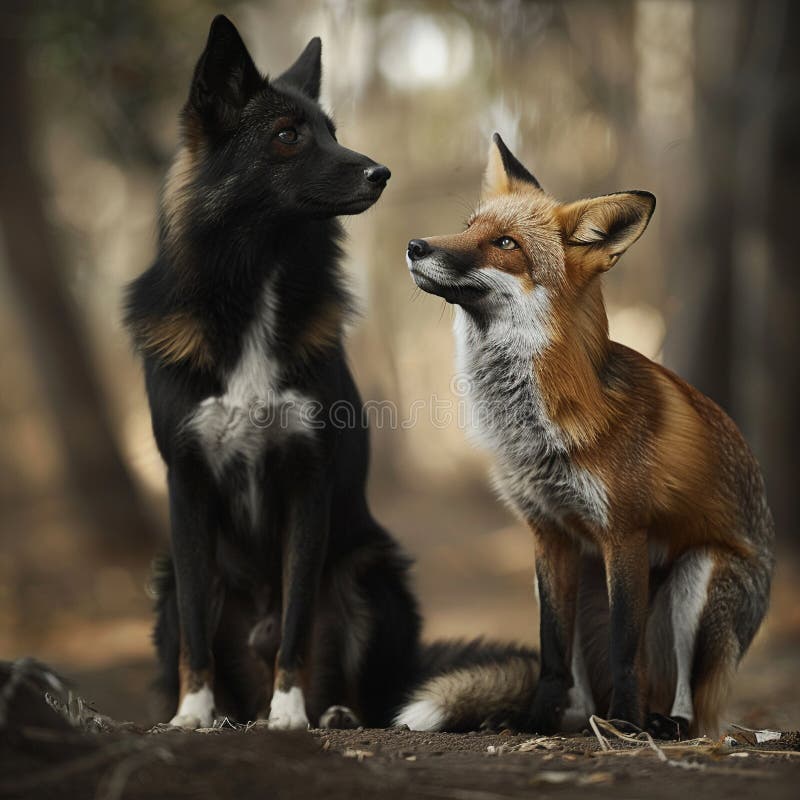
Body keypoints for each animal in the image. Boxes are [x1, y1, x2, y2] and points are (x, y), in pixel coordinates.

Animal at [124, 17, 537, 732]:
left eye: (332, 130)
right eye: (288, 135)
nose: (381, 173)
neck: (258, 284)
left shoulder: (307, 483)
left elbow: (295, 620)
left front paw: (289, 713)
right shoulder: (188, 486)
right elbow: (198, 631)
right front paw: (191, 713)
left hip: (372, 575)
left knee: (375, 690)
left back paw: (334, 712)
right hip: (169, 582)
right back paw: (229, 712)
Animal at [405, 133, 775, 739]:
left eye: (504, 243)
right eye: (467, 227)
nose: (415, 245)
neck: (532, 430)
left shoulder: (623, 533)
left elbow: (627, 650)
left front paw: (626, 725)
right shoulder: (548, 534)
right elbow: (551, 653)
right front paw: (536, 722)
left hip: (697, 581)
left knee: (693, 704)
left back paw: (657, 723)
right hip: (577, 576)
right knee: (582, 688)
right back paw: (571, 721)